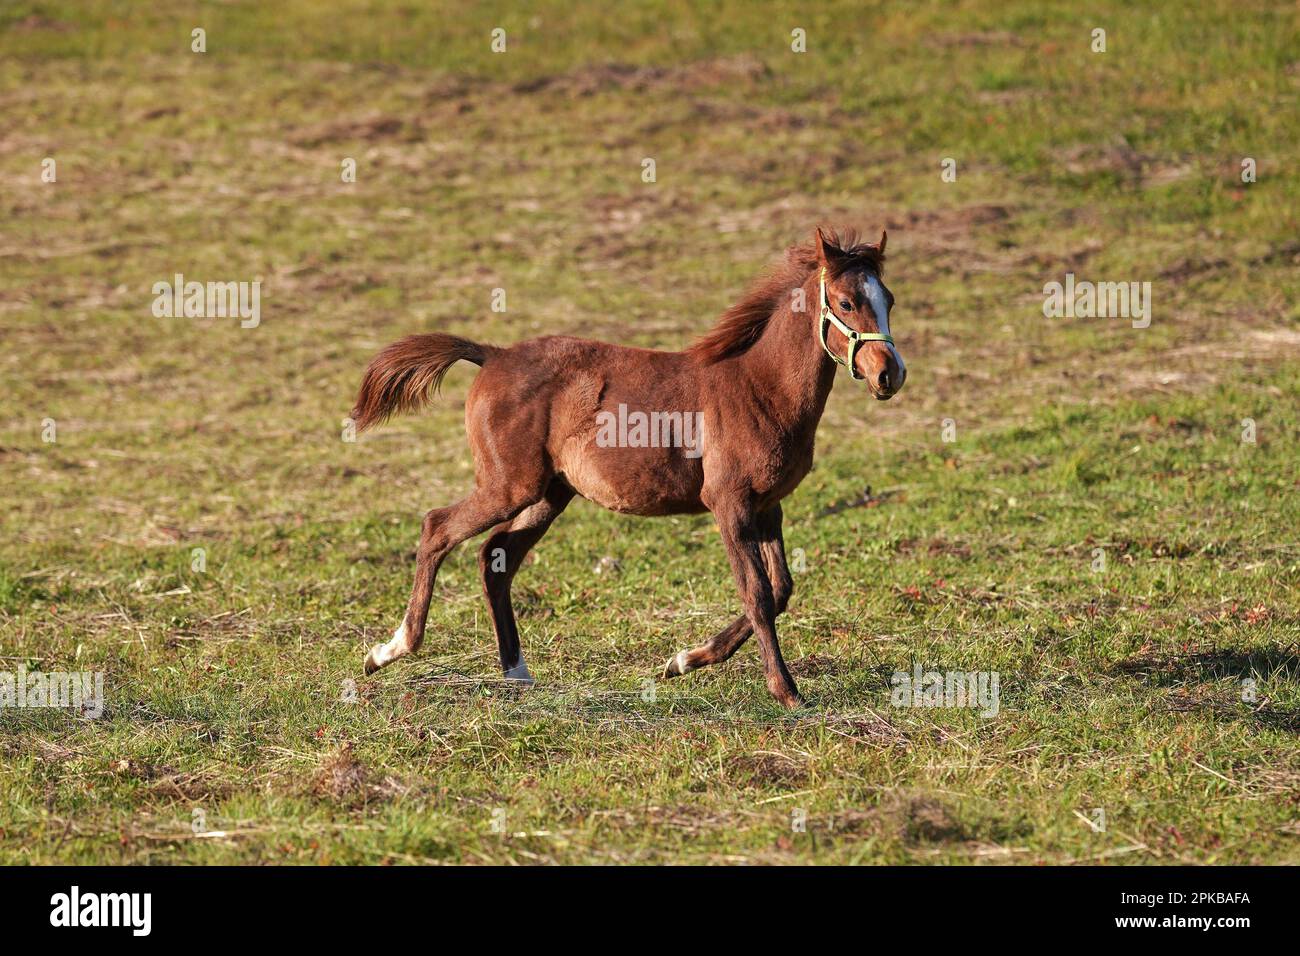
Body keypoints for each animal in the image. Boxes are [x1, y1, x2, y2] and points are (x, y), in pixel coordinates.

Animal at [350, 227, 904, 709]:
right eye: (847, 302)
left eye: (890, 299)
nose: (889, 374)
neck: (759, 387)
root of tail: (493, 355)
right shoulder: (729, 505)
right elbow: (758, 594)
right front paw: (786, 692)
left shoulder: (768, 507)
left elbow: (782, 589)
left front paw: (684, 660)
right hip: (509, 486)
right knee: (437, 528)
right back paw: (388, 651)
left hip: (549, 494)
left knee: (495, 557)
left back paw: (517, 673)